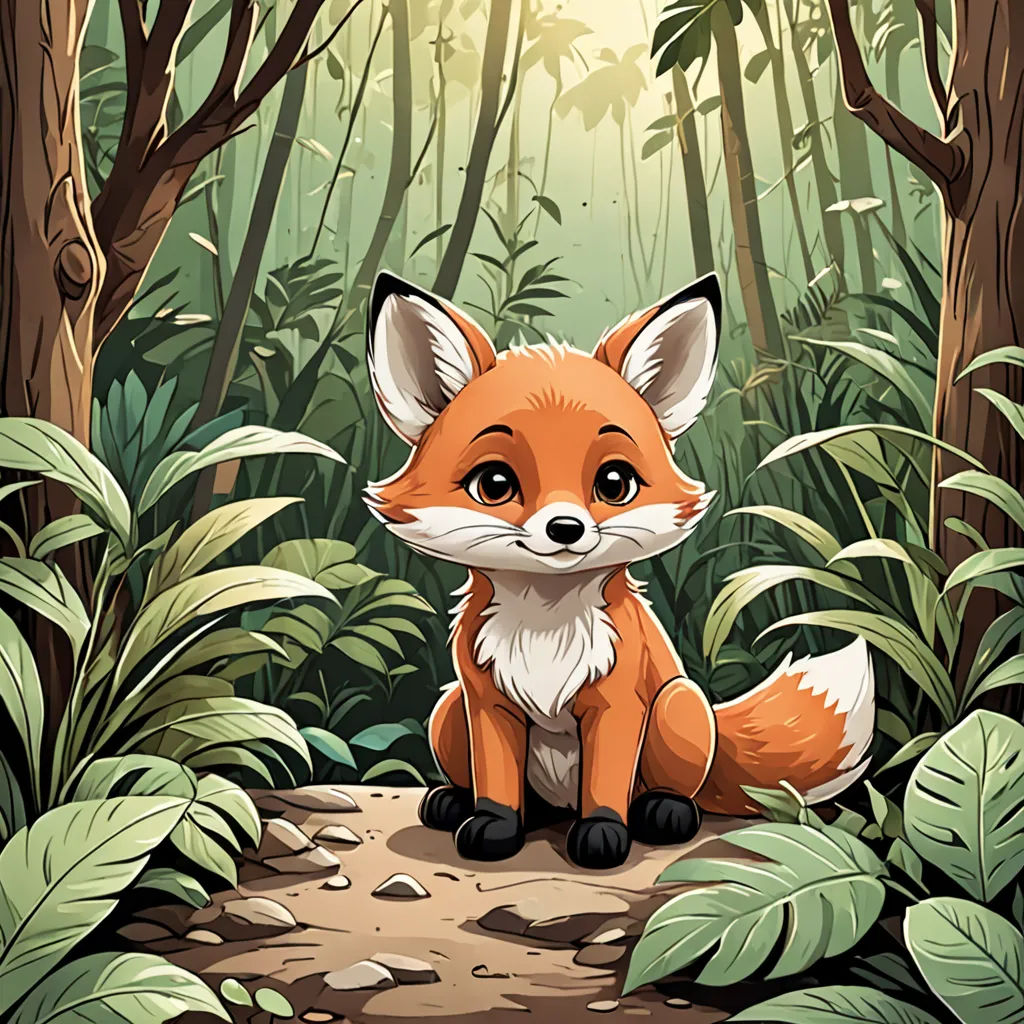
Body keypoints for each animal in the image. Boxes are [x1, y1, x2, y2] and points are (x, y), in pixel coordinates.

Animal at [363, 270, 875, 869]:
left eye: (614, 483)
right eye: (494, 484)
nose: (566, 528)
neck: (546, 626)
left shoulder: (617, 702)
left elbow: (606, 786)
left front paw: (603, 835)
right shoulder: (487, 701)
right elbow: (497, 784)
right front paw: (493, 826)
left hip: (678, 705)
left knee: (672, 790)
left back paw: (664, 812)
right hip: (448, 711)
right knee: (515, 794)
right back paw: (454, 801)